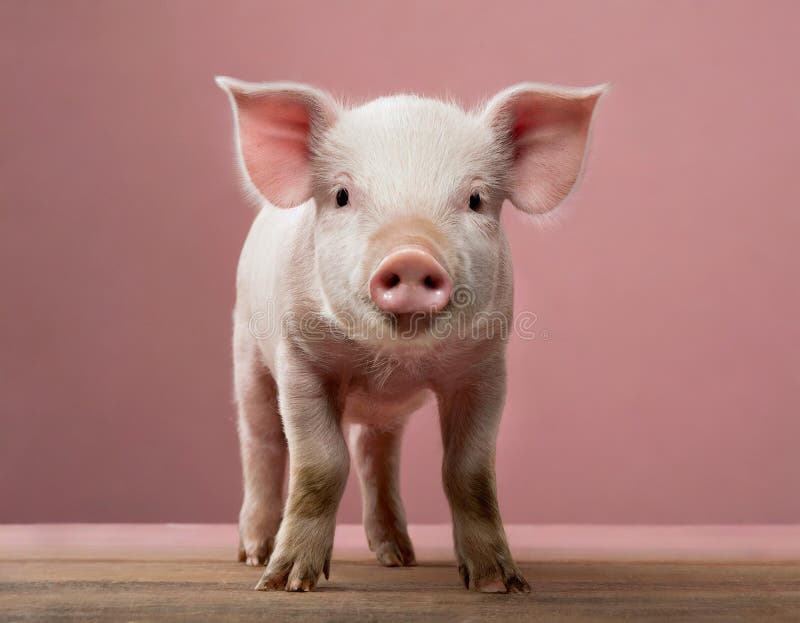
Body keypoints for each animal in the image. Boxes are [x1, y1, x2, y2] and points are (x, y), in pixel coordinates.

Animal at [215, 76, 605, 593]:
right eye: (342, 195)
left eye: (476, 199)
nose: (411, 255)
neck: (394, 362)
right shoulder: (300, 358)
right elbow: (319, 463)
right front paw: (288, 584)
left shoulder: (483, 369)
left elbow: (468, 471)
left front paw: (500, 584)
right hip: (246, 351)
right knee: (262, 443)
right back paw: (254, 556)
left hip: (385, 416)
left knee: (373, 452)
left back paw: (399, 557)